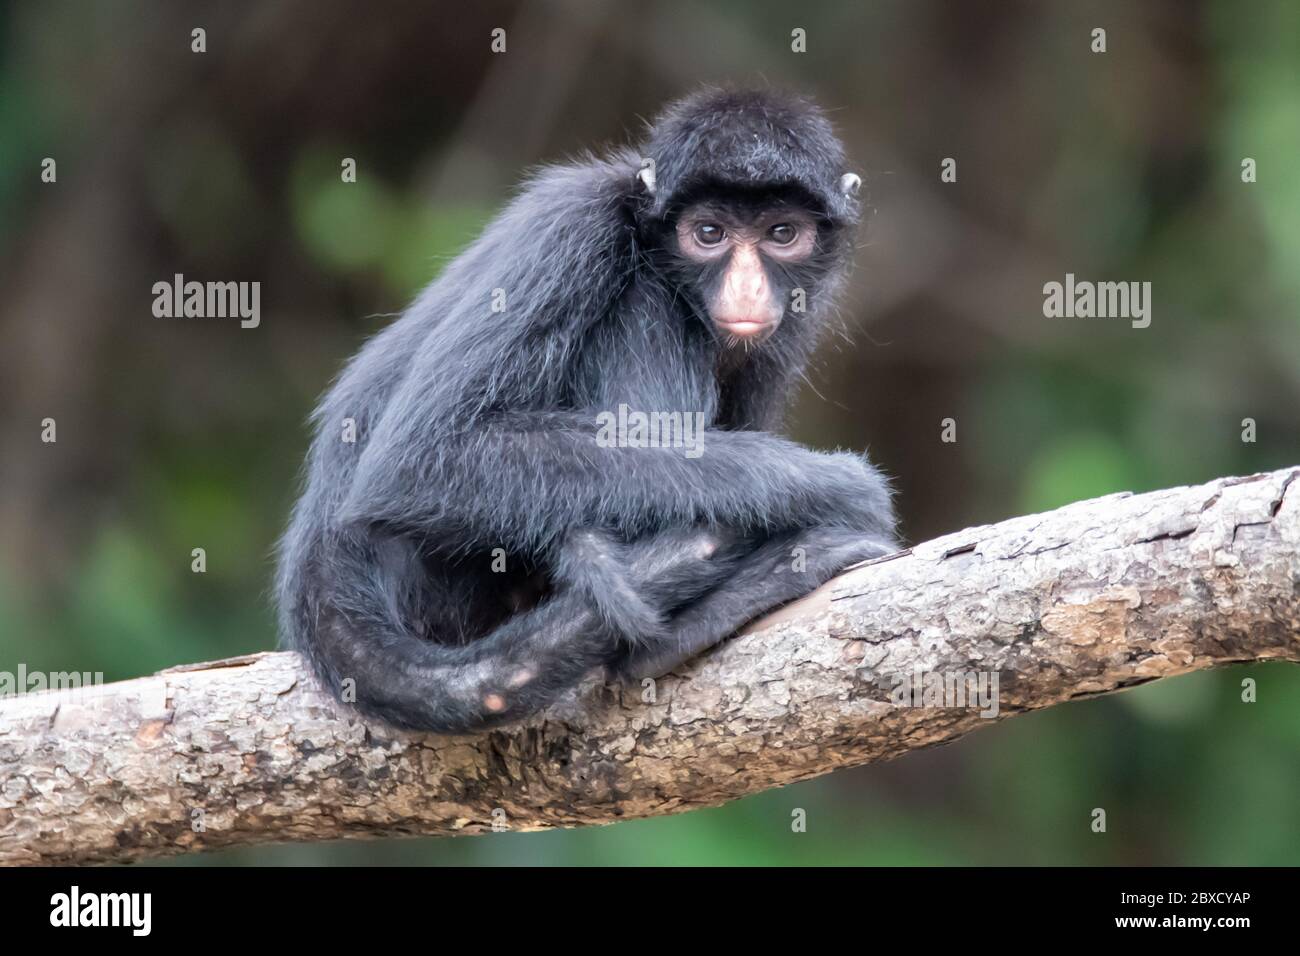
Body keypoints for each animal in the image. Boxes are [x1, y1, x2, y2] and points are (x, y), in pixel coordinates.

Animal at [275, 88, 897, 733]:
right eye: (708, 232)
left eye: (781, 233)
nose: (747, 289)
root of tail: (318, 555)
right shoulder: (573, 222)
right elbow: (416, 463)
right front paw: (834, 487)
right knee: (646, 296)